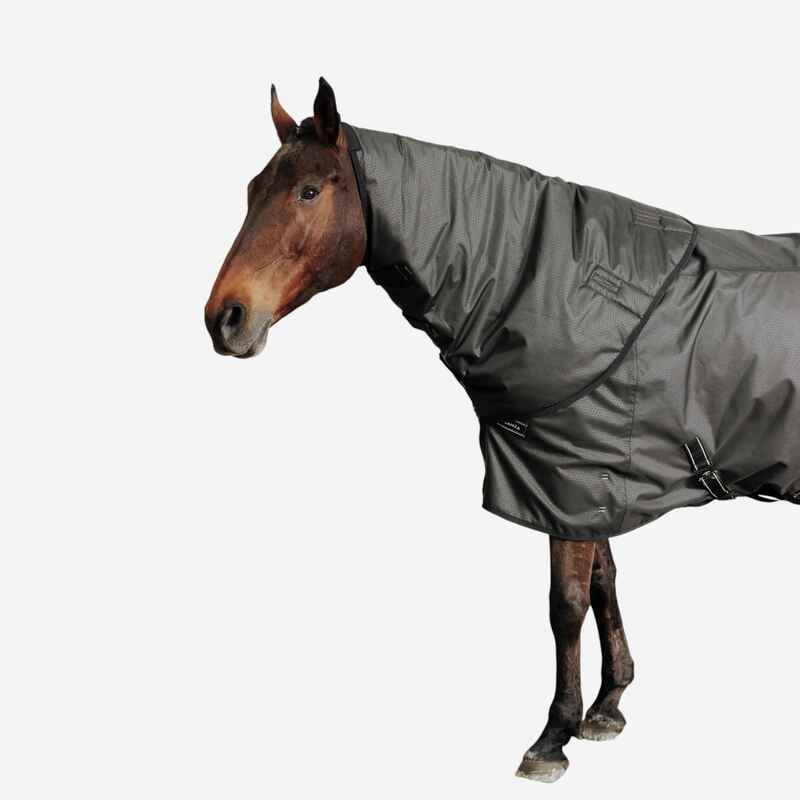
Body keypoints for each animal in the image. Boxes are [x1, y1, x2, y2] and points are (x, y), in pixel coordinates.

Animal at [205, 78, 799, 782]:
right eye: (251, 189)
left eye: (309, 191)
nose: (224, 318)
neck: (563, 286)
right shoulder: (589, 479)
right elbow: (604, 583)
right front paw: (609, 704)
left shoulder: (567, 473)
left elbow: (565, 603)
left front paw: (553, 735)